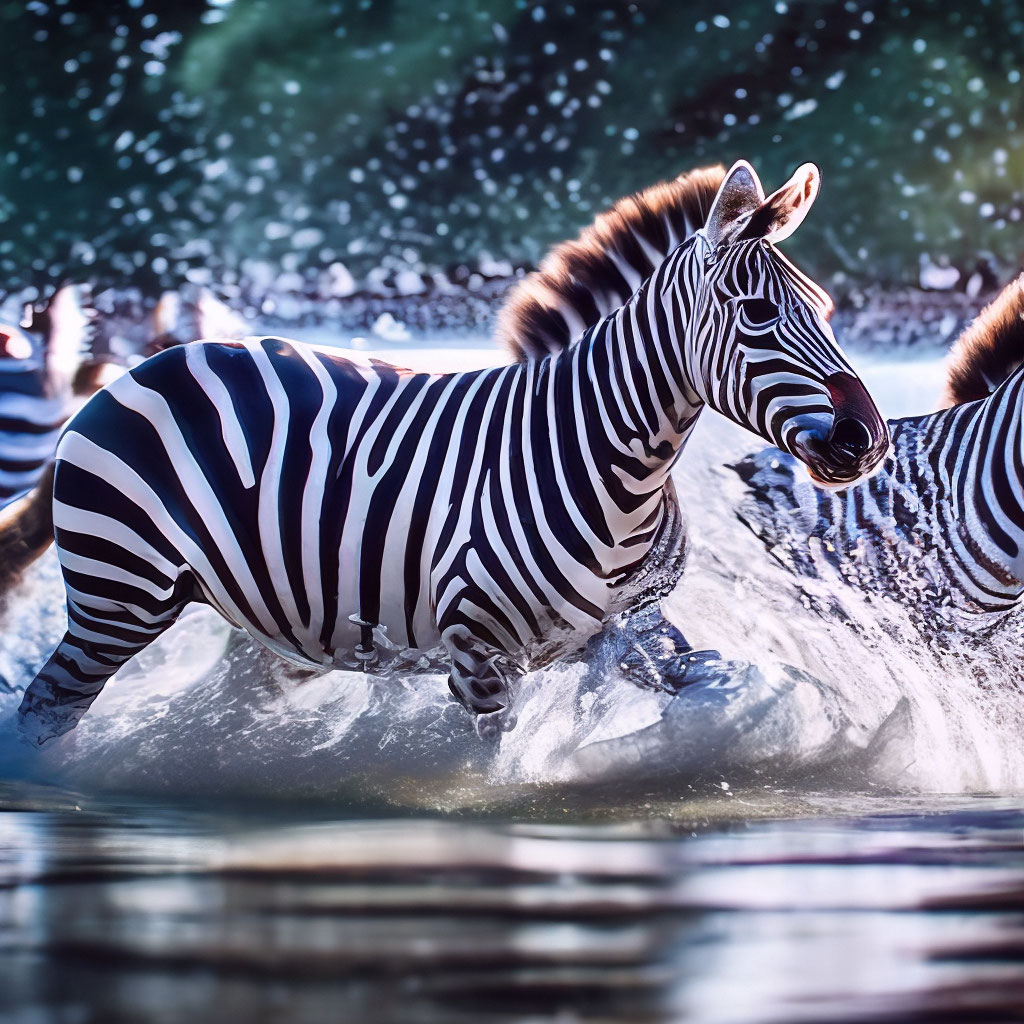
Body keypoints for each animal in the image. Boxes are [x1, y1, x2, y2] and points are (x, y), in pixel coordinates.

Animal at [16, 159, 889, 745]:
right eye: (758, 316)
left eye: (825, 309)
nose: (866, 439)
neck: (604, 457)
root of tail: (150, 363)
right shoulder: (479, 652)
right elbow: (485, 773)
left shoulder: (629, 628)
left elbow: (717, 682)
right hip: (119, 595)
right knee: (45, 710)